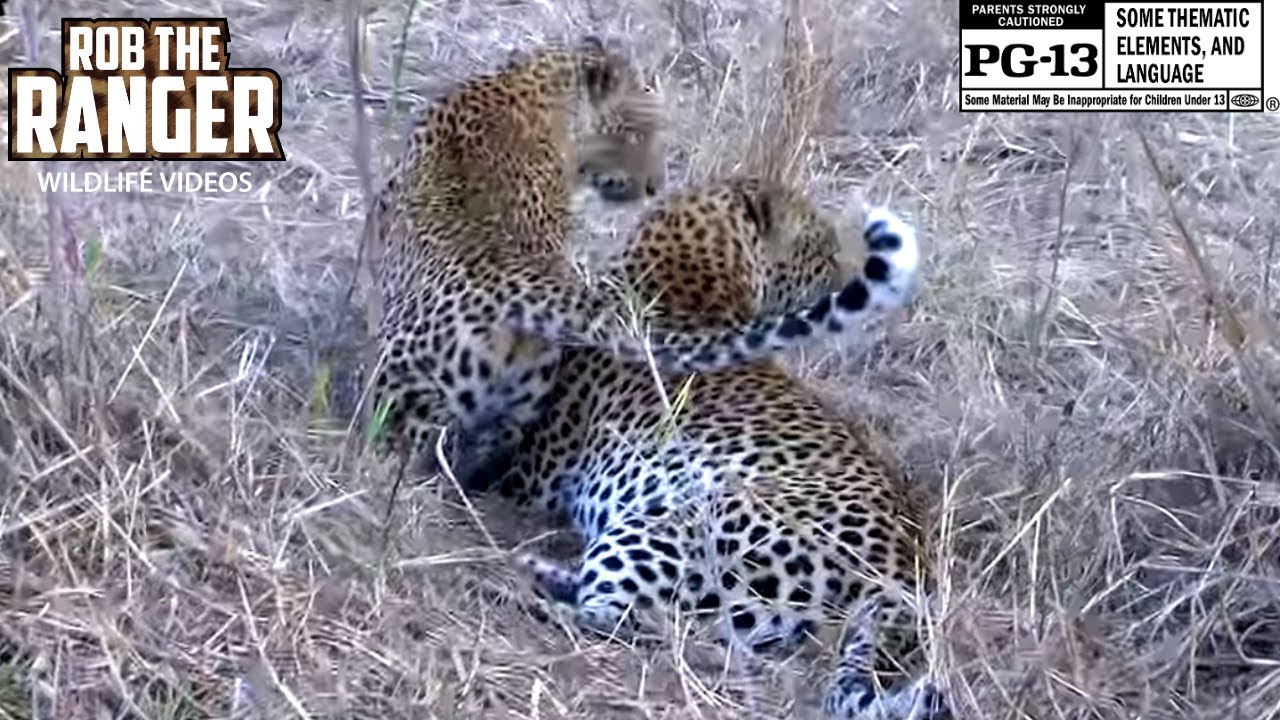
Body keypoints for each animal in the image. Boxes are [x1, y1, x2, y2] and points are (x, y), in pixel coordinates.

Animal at [492, 177, 950, 719]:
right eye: (823, 249)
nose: (843, 277)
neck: (694, 283)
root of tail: (906, 575)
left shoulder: (527, 473)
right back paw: (542, 571)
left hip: (680, 522)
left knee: (632, 621)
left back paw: (528, 588)